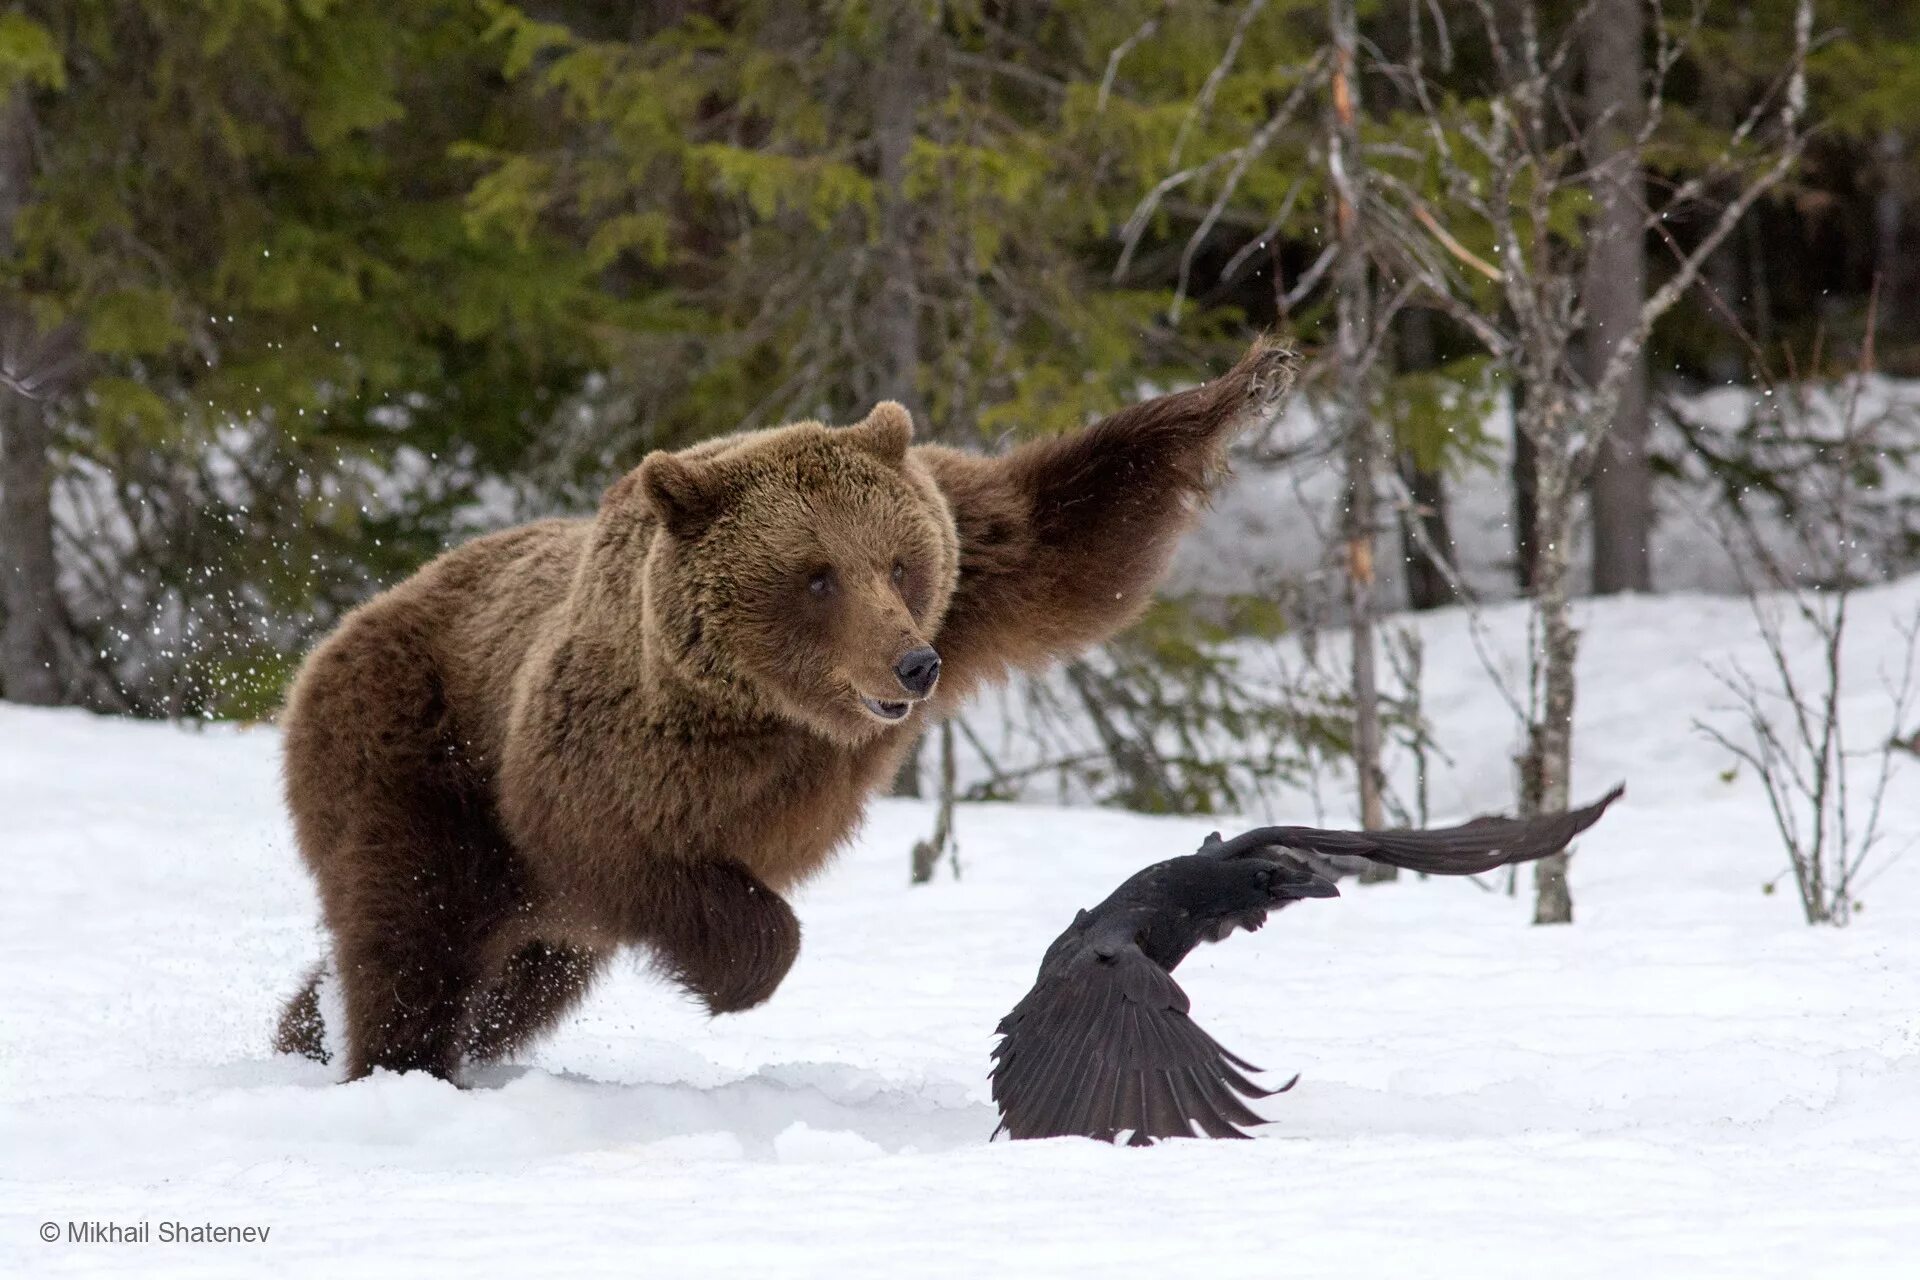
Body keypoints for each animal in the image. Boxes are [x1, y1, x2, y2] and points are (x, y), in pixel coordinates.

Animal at [278, 335, 1297, 1074]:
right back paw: (390, 1059)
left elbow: (1064, 533)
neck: (782, 709)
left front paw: (1254, 383)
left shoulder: (972, 571)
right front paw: (739, 971)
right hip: (413, 752)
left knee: (510, 981)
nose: (915, 664)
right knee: (414, 937)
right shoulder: (618, 741)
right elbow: (608, 836)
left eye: (899, 561)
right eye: (816, 576)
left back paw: (304, 1028)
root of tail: (345, 629)